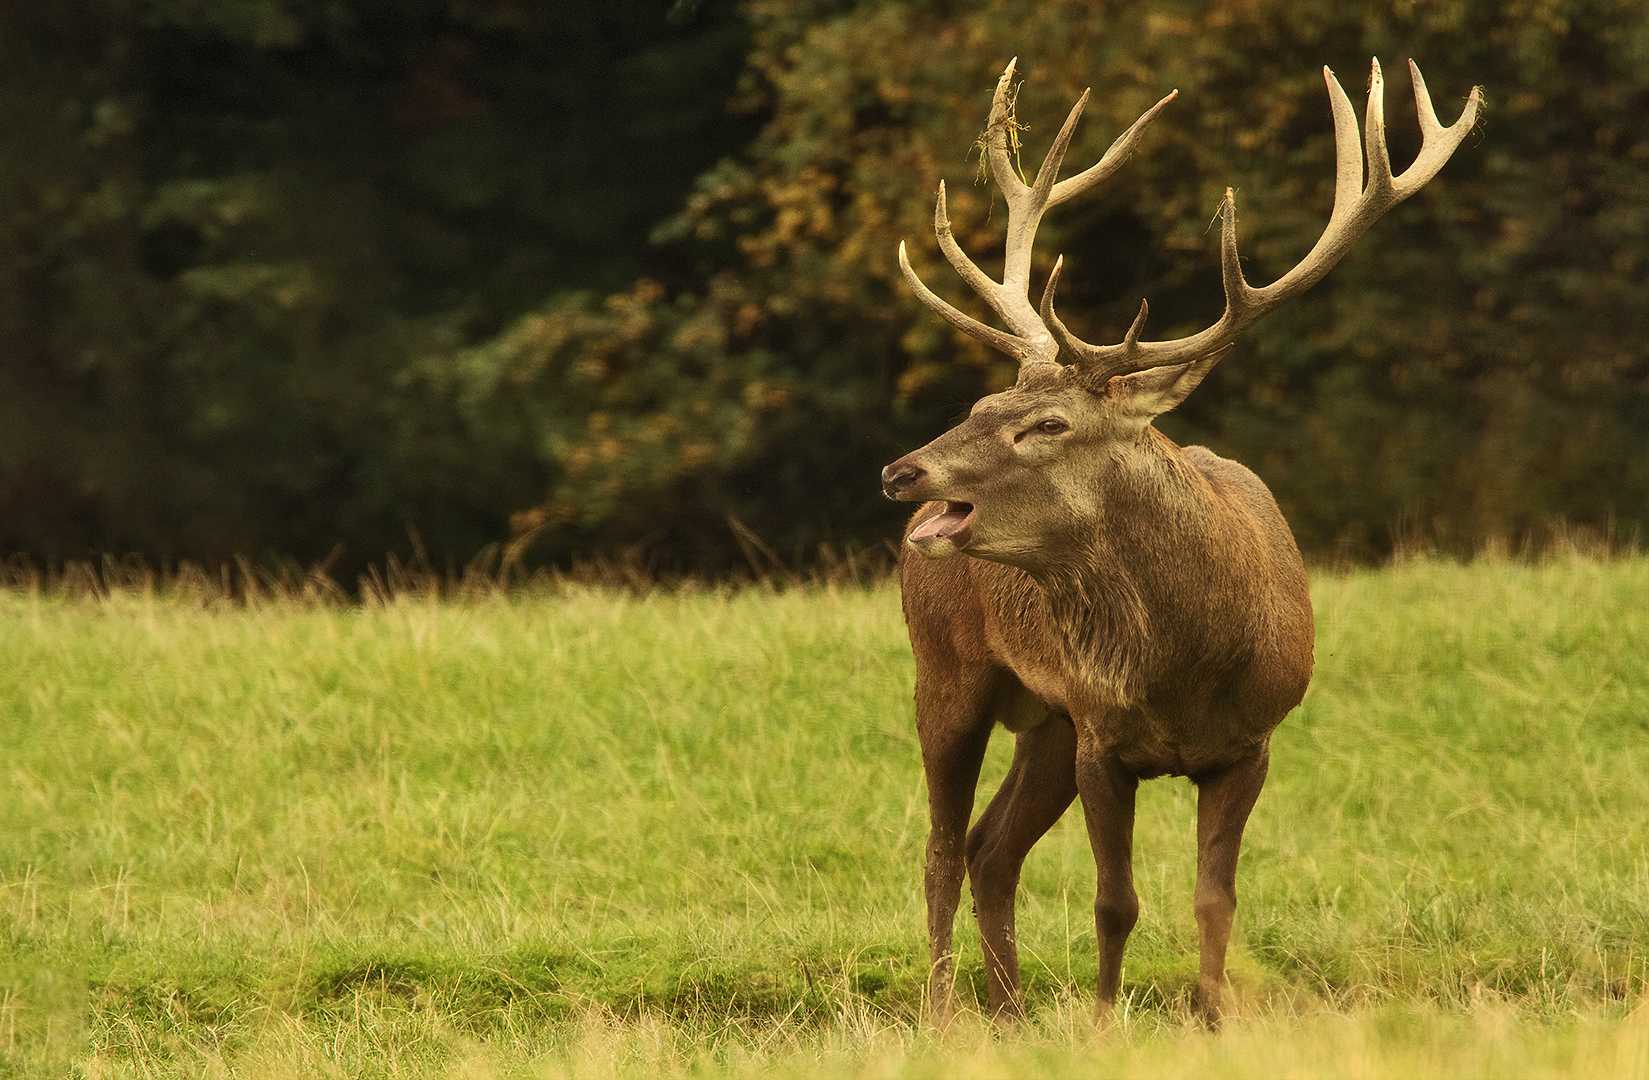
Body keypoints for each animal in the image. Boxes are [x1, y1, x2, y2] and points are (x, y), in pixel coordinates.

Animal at [880, 57, 1480, 1027]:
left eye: (1046, 423)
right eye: (979, 405)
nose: (902, 472)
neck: (1186, 668)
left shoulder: (1249, 742)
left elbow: (1214, 898)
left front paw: (1212, 1019)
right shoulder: (1102, 736)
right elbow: (1112, 900)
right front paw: (1101, 1023)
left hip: (1044, 720)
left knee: (988, 847)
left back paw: (1008, 1016)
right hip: (948, 669)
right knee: (941, 847)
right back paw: (944, 1017)